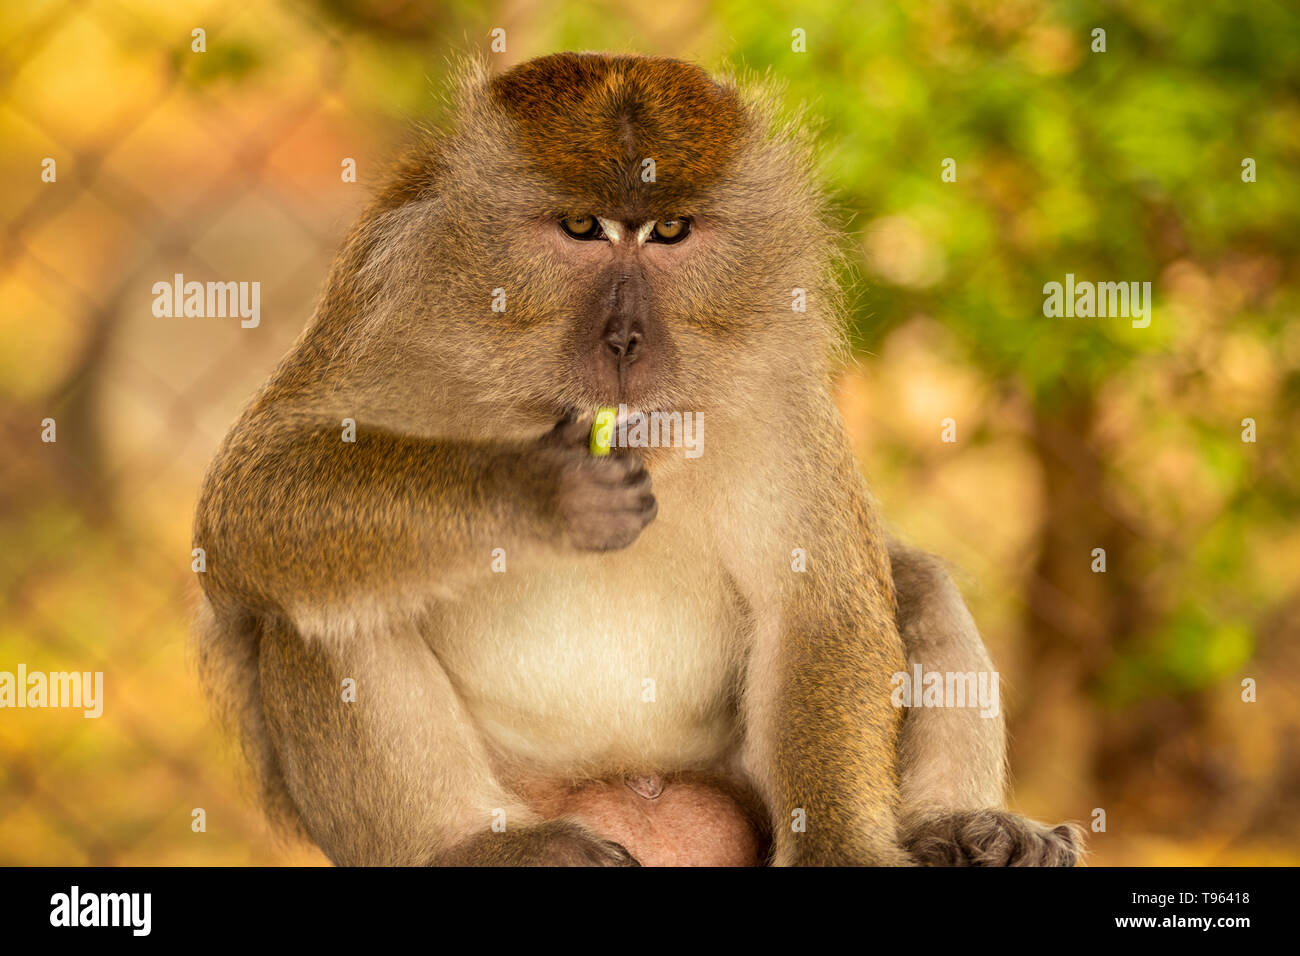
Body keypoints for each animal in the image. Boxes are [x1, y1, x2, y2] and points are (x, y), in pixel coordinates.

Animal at [192, 52, 1082, 867]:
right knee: (314, 603)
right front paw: (539, 489)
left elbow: (816, 609)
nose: (625, 339)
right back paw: (477, 845)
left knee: (913, 580)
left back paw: (954, 826)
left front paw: (842, 845)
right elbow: (254, 493)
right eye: (583, 228)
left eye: (669, 232)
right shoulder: (383, 306)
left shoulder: (780, 388)